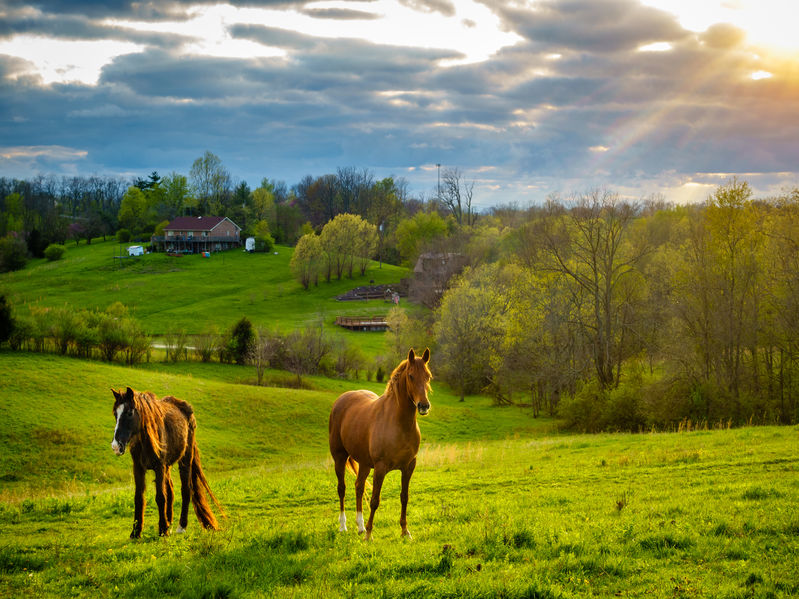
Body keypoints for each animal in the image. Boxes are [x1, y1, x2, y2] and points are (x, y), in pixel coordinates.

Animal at [110, 387, 222, 538]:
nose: (116, 446)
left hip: (185, 460)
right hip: (168, 466)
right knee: (170, 490)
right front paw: (135, 532)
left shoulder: (159, 467)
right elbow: (139, 498)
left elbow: (160, 497)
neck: (146, 440)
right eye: (115, 414)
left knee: (186, 490)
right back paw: (169, 523)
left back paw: (181, 526)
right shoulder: (138, 468)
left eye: (129, 413)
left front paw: (162, 529)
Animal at [329, 348, 432, 540]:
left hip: (364, 464)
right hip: (339, 458)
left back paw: (360, 526)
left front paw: (405, 531)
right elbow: (375, 500)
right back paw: (343, 526)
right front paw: (369, 535)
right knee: (342, 488)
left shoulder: (409, 467)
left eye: (428, 376)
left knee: (359, 487)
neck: (399, 423)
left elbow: (404, 497)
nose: (423, 406)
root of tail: (341, 400)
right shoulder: (380, 467)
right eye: (411, 376)